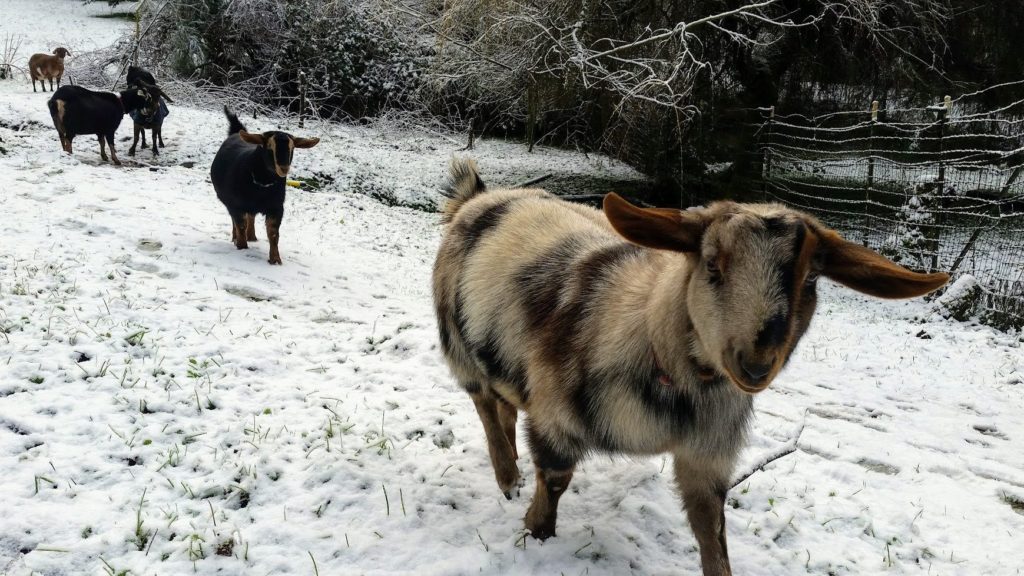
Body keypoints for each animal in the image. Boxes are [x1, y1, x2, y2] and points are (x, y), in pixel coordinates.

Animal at [210, 107, 319, 265]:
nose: (284, 168)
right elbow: (240, 224)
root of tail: (236, 133)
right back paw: (236, 237)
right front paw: (241, 246)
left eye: (292, 148)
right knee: (236, 221)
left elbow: (273, 233)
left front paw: (275, 260)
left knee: (251, 216)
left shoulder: (276, 207)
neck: (262, 186)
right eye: (269, 148)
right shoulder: (236, 205)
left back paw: (252, 236)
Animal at [432, 158, 948, 576]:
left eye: (810, 280)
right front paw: (534, 532)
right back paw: (507, 476)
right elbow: (555, 481)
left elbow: (711, 532)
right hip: (458, 342)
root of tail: (479, 196)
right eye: (712, 265)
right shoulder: (555, 418)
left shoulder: (707, 457)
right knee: (483, 403)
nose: (755, 365)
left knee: (503, 404)